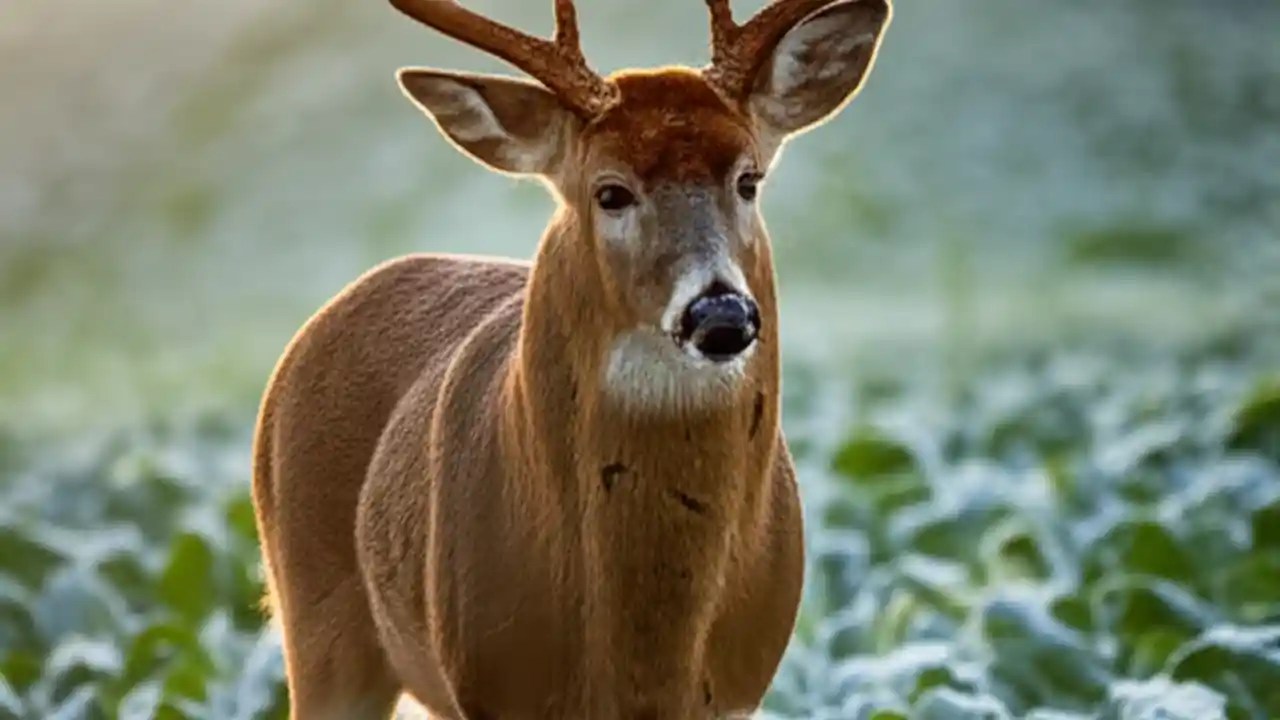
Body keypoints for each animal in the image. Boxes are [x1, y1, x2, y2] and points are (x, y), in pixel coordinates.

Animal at [250, 0, 891, 717]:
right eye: (610, 191)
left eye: (748, 179)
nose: (721, 312)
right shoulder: (495, 686)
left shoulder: (738, 691)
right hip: (315, 619)